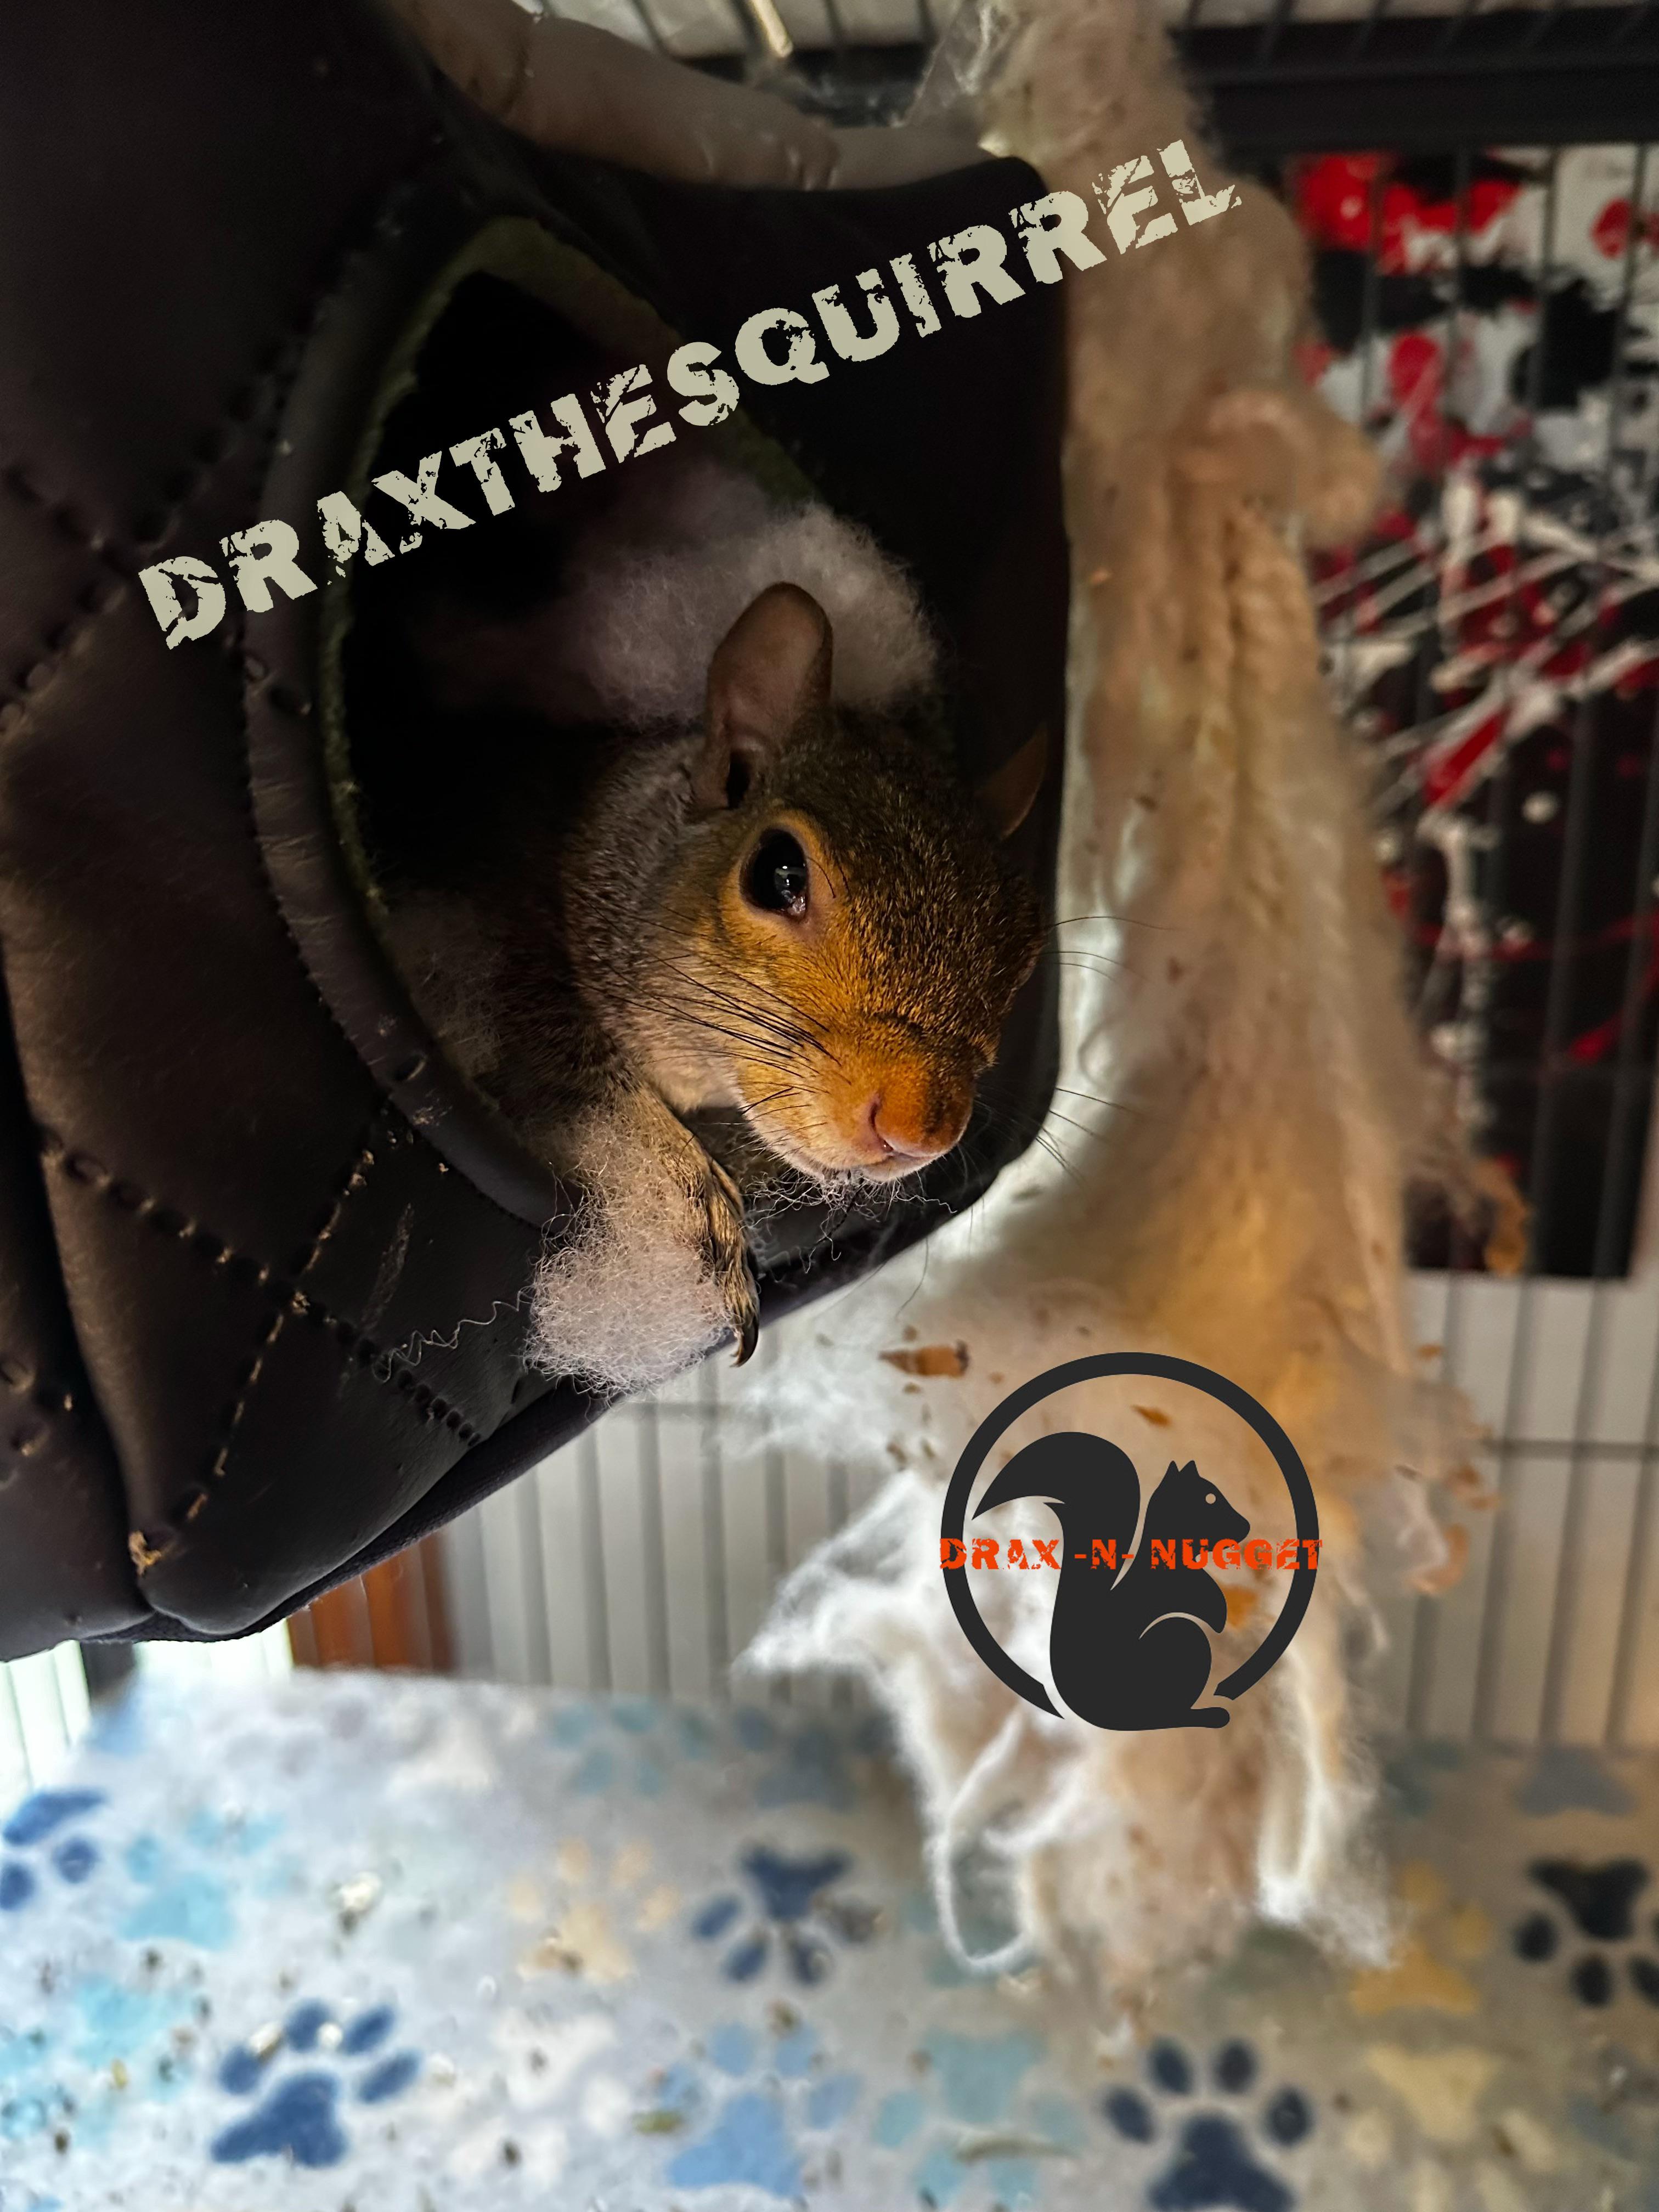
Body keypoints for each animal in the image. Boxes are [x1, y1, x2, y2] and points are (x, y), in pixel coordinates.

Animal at [380, 454, 1047, 1395]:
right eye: (778, 873)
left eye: (1027, 954)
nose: (920, 1130)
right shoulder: (512, 936)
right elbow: (567, 1063)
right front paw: (684, 1208)